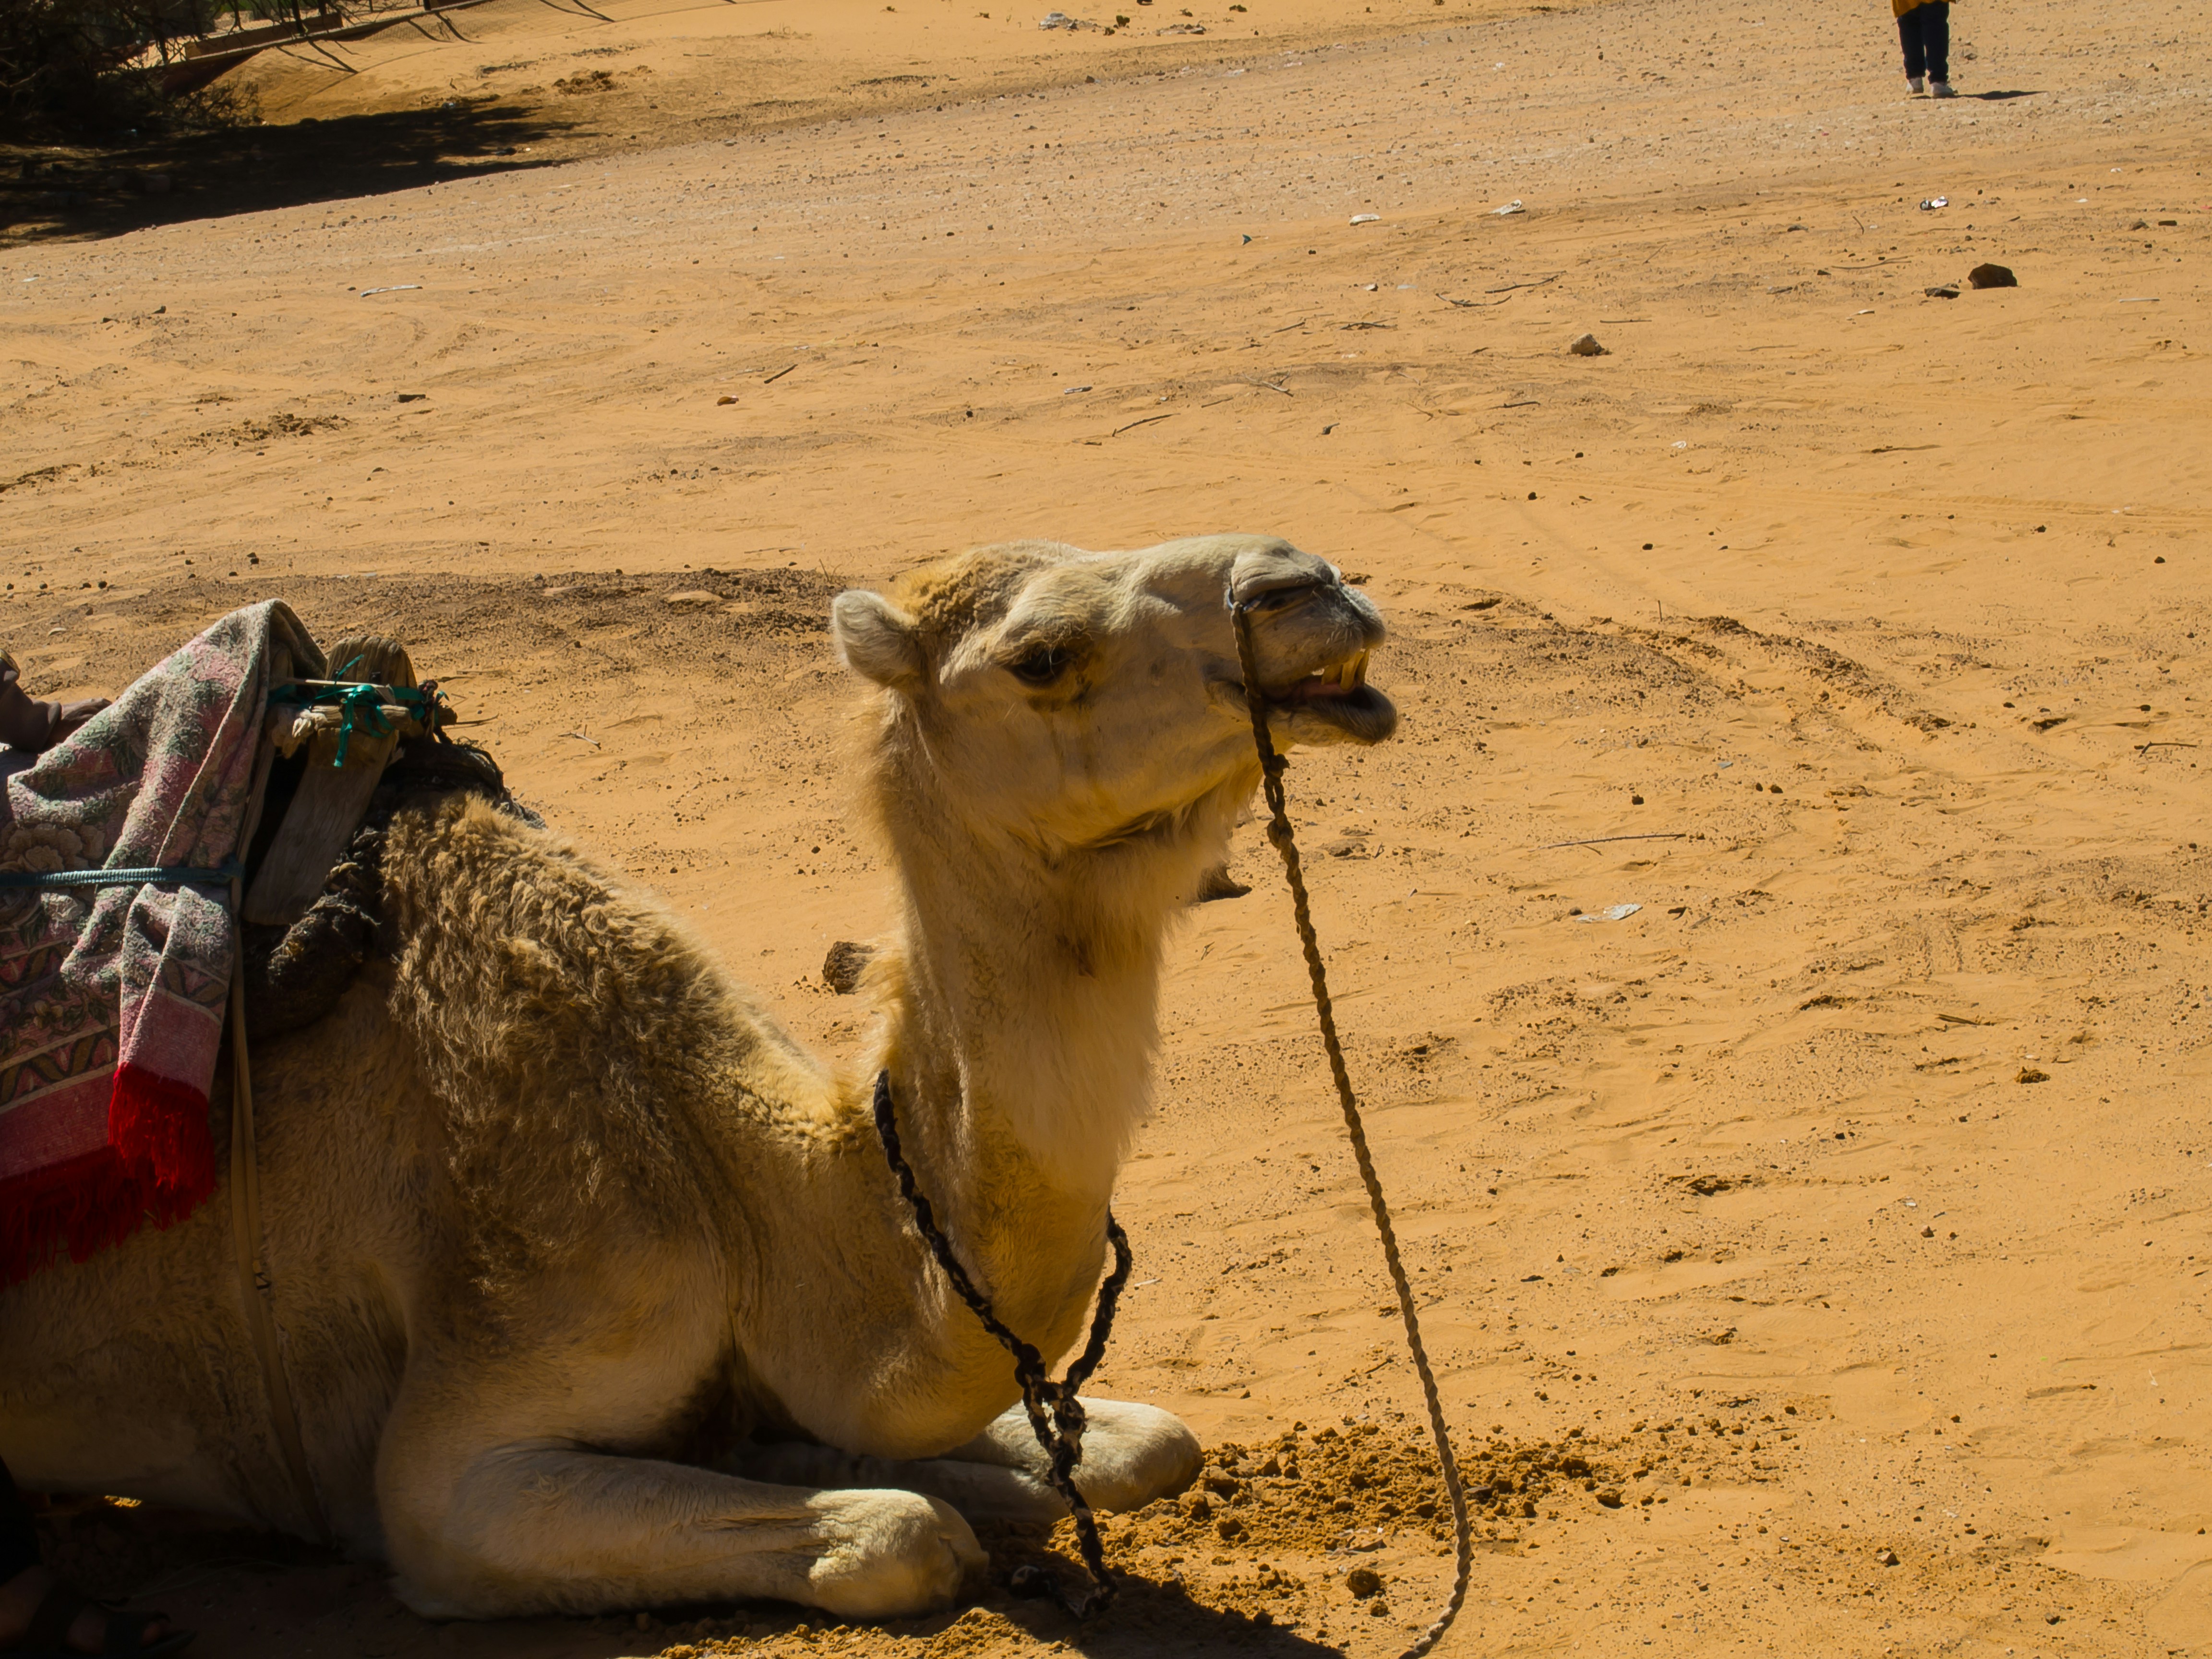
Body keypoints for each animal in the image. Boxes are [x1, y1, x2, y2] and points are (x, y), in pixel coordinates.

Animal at [0, 534, 1397, 1620]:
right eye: (1041, 656)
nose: (1308, 584)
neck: (745, 1196)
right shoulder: (461, 1447)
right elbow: (901, 1529)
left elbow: (1145, 1443)